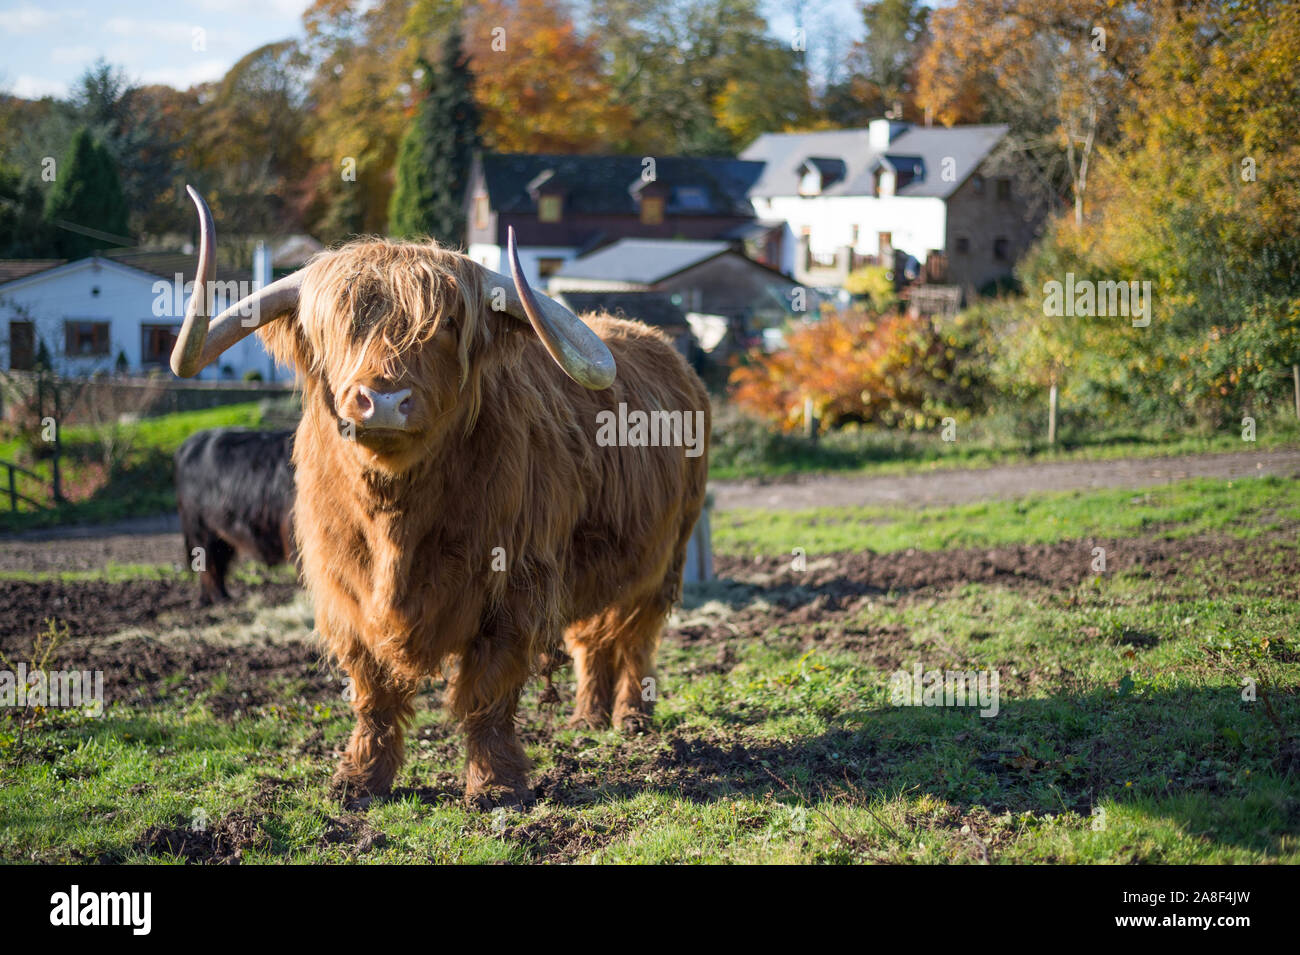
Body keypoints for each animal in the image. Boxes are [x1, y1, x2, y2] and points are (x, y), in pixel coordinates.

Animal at [174, 427, 295, 604]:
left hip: (221, 532)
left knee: (218, 561)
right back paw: (216, 599)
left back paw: (220, 596)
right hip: (201, 528)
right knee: (208, 564)